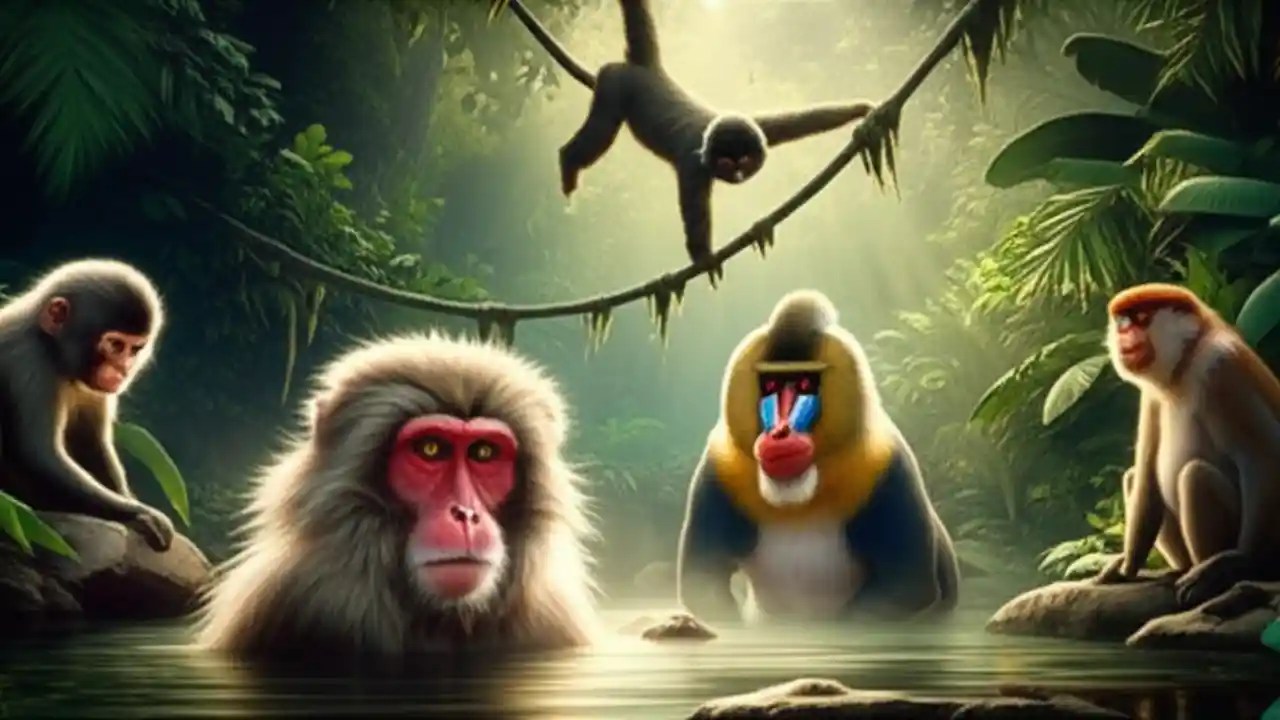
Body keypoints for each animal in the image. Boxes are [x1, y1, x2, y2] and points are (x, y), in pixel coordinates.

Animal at [0, 259, 174, 552]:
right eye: (115, 345)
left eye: (135, 349)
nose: (123, 370)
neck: (52, 348)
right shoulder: (30, 363)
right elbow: (37, 456)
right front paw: (140, 514)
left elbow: (91, 445)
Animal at [500, 0, 877, 265]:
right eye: (726, 162)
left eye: (746, 160)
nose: (738, 173)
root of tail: (649, 69)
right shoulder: (695, 166)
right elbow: (693, 212)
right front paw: (704, 259)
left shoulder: (756, 127)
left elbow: (802, 120)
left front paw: (862, 110)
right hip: (614, 85)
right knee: (600, 132)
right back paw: (568, 163)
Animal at [676, 289, 959, 623]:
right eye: (770, 384)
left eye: (804, 383)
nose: (779, 435)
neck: (800, 502)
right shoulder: (722, 469)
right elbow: (702, 579)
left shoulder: (885, 467)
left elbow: (908, 585)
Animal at [1092, 283, 1280, 609]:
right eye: (1122, 322)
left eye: (1141, 318)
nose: (1124, 334)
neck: (1185, 362)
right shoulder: (1152, 395)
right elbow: (1146, 476)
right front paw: (1125, 570)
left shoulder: (1221, 366)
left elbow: (1262, 456)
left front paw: (1236, 562)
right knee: (1136, 476)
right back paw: (1182, 569)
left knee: (1195, 475)